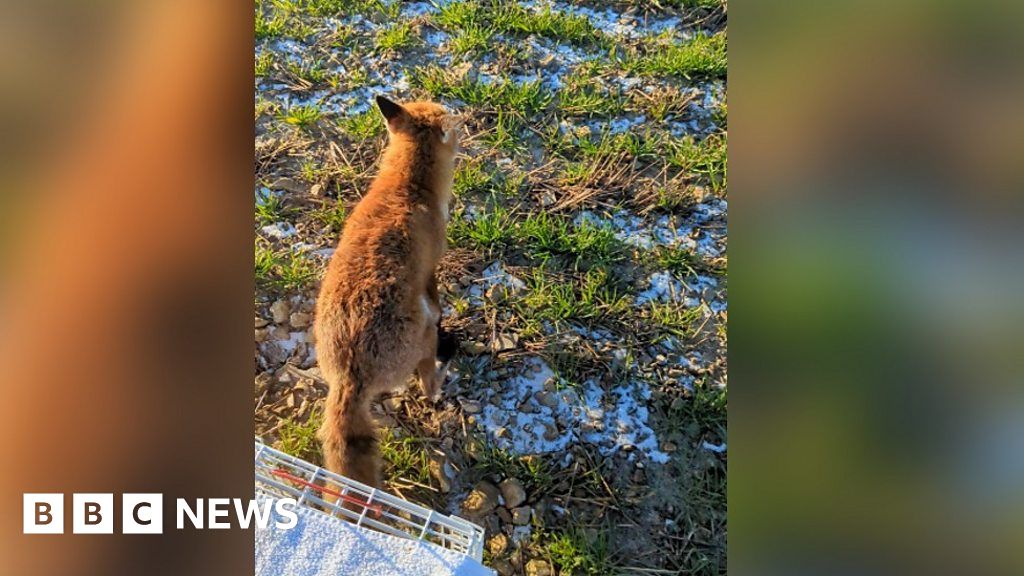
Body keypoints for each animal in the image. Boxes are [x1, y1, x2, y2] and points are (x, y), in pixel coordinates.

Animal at [315, 96, 461, 488]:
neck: (406, 187)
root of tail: (349, 374)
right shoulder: (431, 267)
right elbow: (437, 301)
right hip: (423, 337)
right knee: (427, 383)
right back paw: (443, 373)